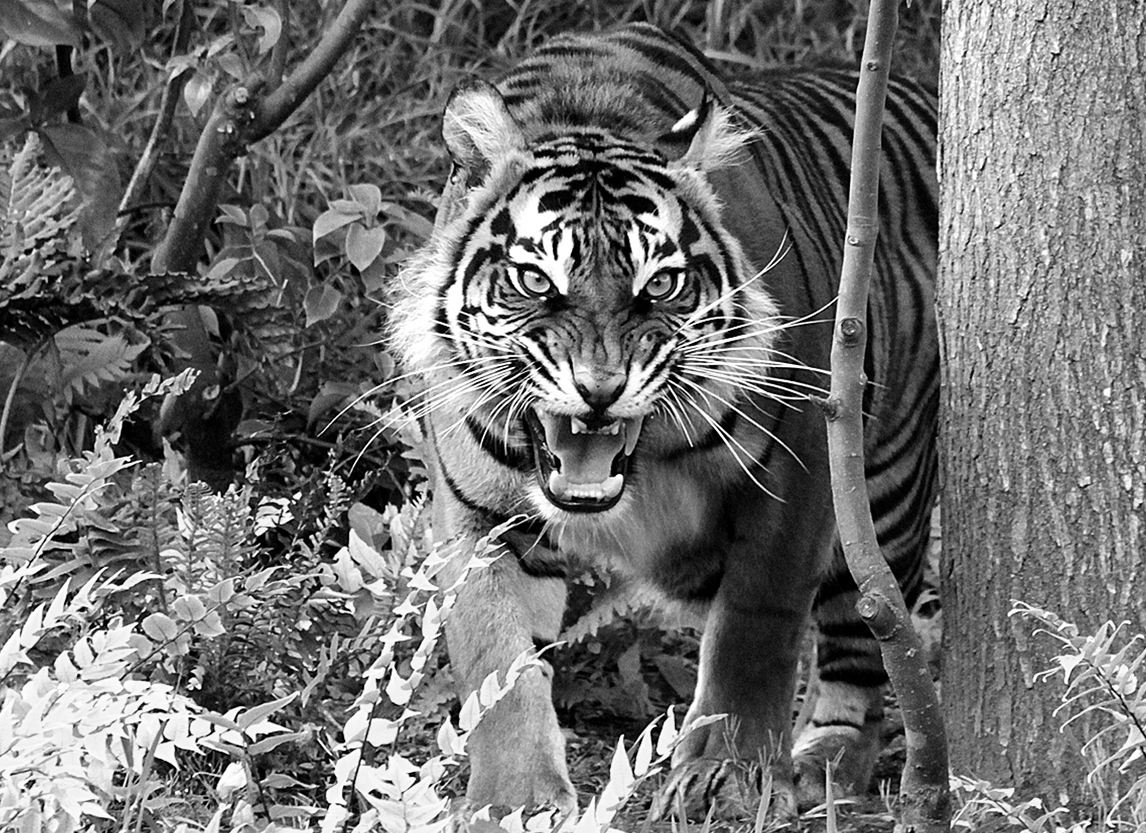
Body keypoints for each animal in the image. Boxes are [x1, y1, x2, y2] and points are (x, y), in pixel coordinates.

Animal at [390, 22, 938, 820]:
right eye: (535, 280)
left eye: (662, 285)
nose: (599, 390)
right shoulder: (479, 519)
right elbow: (497, 660)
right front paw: (515, 800)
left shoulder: (799, 462)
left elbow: (755, 626)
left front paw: (727, 774)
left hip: (884, 488)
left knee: (863, 642)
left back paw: (823, 761)